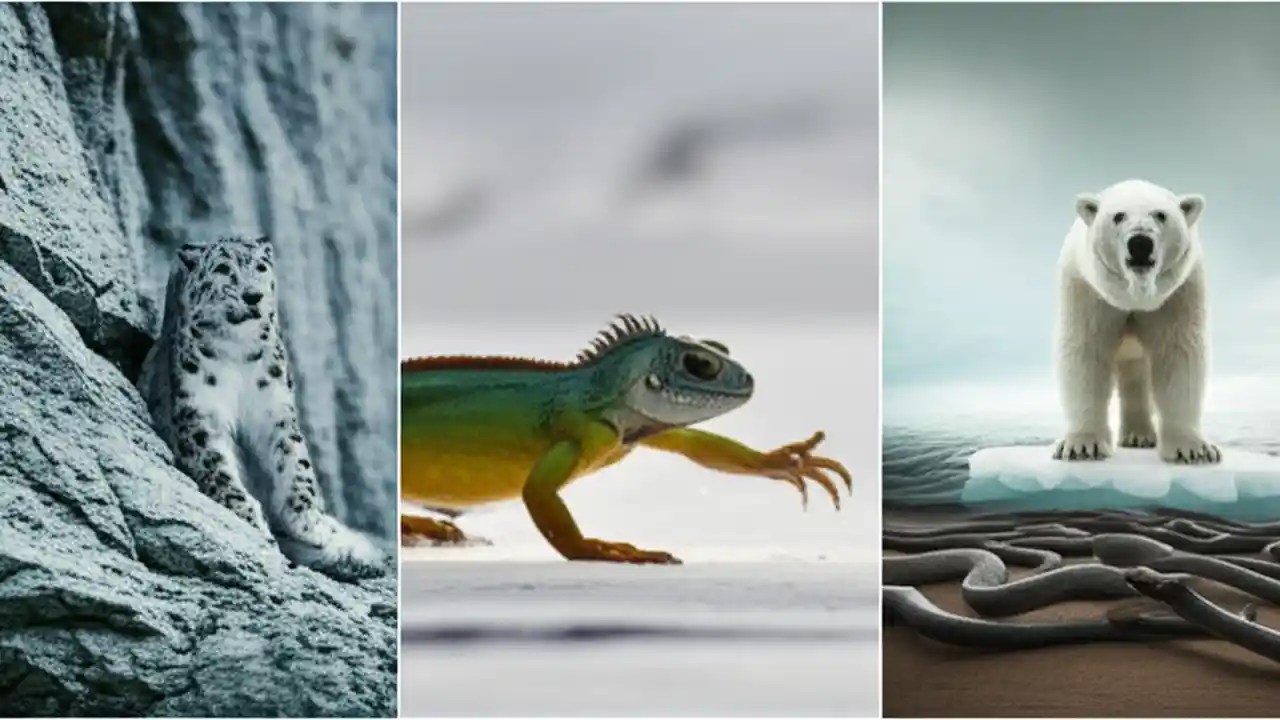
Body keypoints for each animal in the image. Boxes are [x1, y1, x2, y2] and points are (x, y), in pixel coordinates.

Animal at [1053, 179, 1220, 464]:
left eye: (1160, 215)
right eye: (1118, 216)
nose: (1140, 243)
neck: (1135, 296)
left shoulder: (1179, 294)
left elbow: (1179, 353)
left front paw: (1193, 449)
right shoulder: (1087, 291)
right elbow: (1085, 353)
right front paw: (1082, 446)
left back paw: (1139, 436)